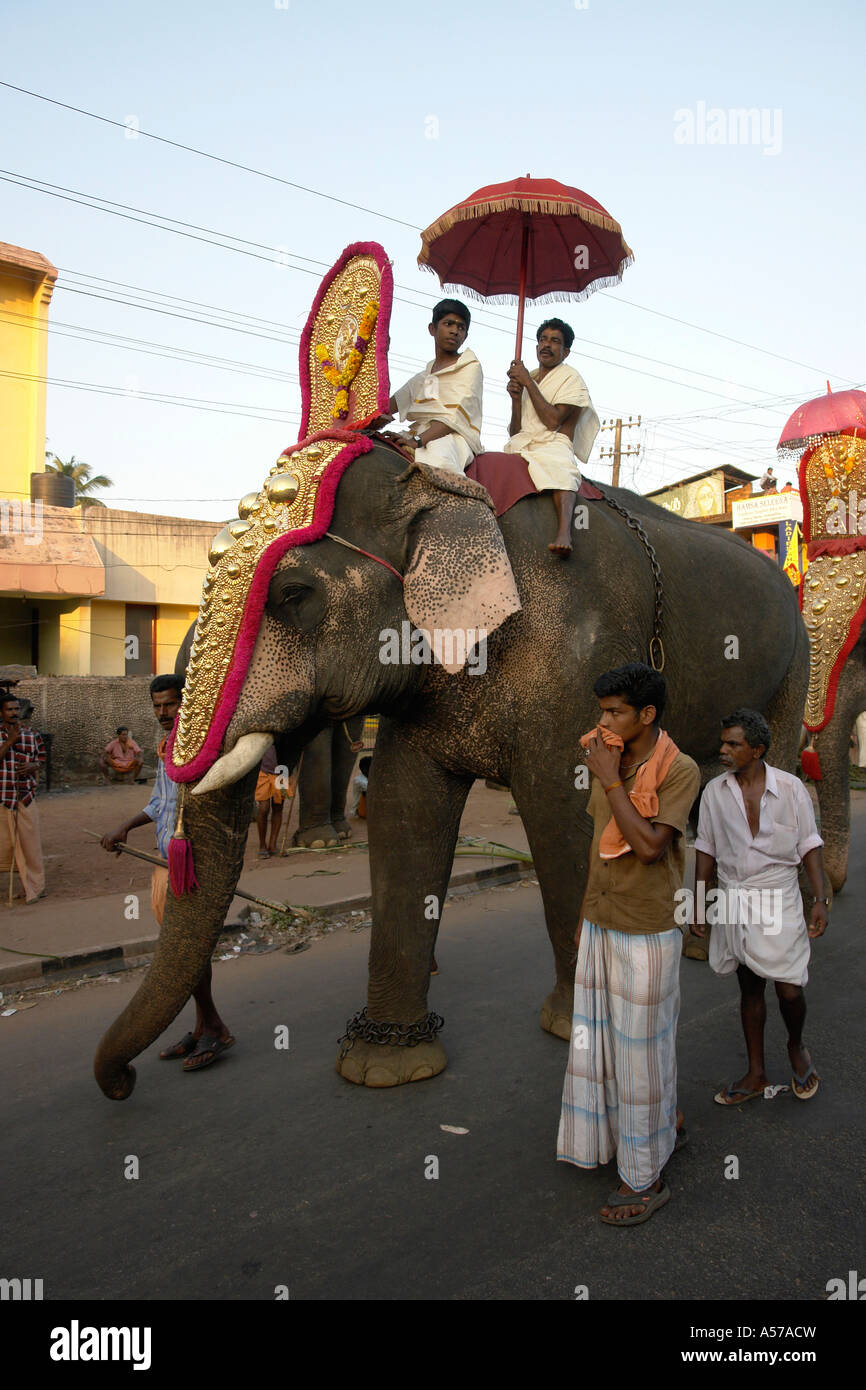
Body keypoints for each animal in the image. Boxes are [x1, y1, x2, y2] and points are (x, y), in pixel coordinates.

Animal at [94, 448, 808, 1099]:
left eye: (294, 595)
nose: (121, 1082)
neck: (440, 487)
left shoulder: (578, 652)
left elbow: (561, 808)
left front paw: (575, 1028)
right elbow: (403, 812)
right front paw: (385, 1067)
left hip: (793, 664)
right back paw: (699, 951)